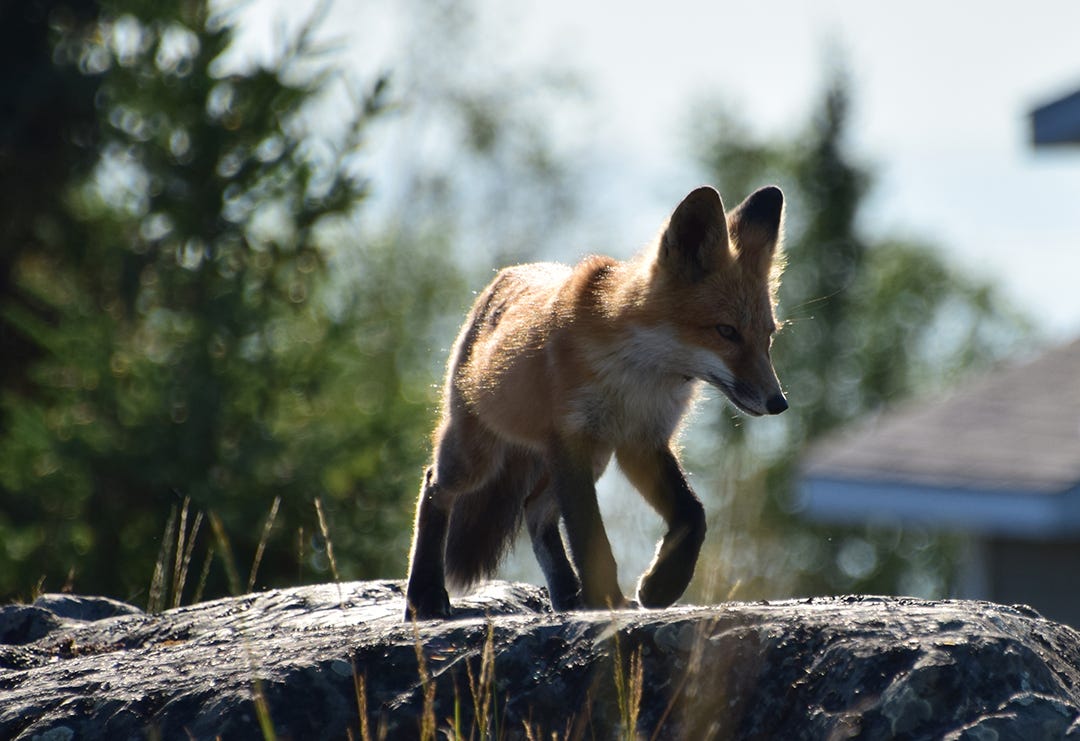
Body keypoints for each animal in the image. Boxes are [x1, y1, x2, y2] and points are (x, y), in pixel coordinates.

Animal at [404, 184, 788, 620]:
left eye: (768, 336)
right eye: (726, 332)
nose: (778, 402)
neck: (638, 378)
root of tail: (503, 278)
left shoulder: (641, 442)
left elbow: (693, 515)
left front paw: (661, 584)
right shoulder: (573, 437)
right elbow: (592, 536)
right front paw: (607, 600)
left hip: (593, 458)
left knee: (534, 512)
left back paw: (566, 596)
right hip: (478, 459)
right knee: (435, 487)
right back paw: (425, 595)